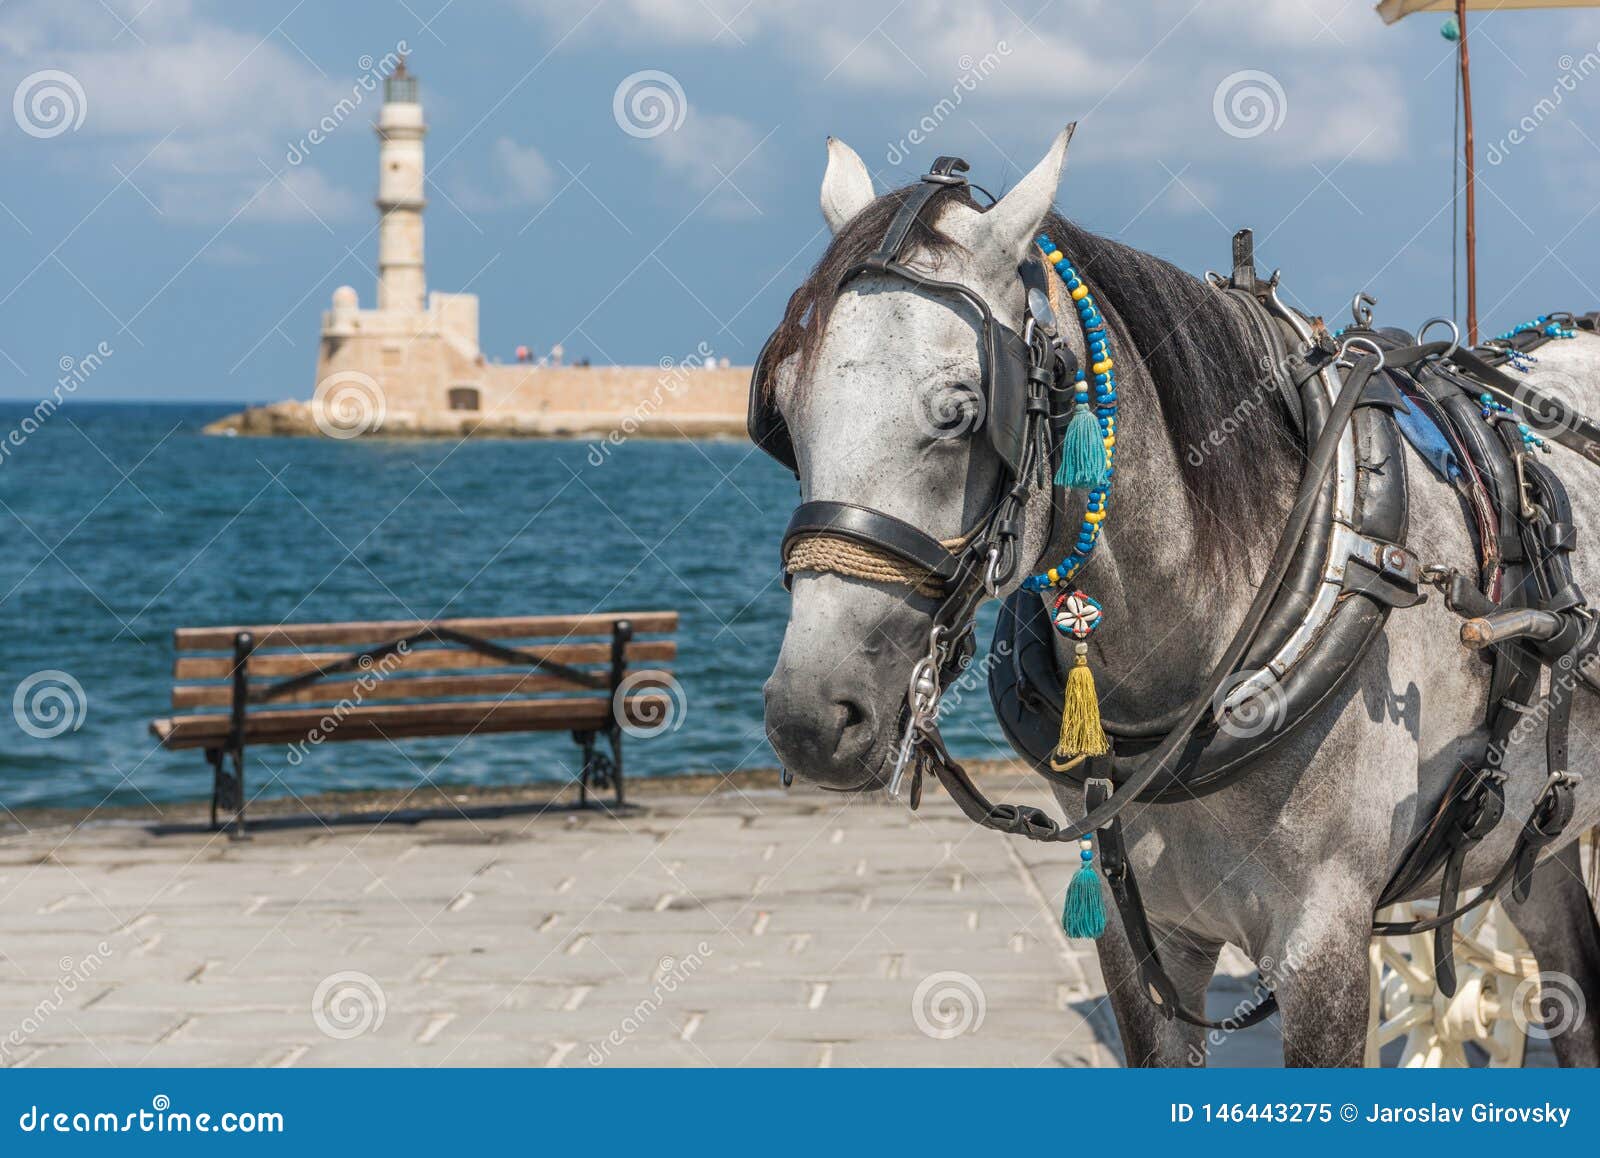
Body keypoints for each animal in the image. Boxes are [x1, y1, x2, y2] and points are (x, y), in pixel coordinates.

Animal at [755, 127, 1600, 1067]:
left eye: (963, 413)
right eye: (781, 413)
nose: (810, 718)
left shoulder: (1326, 946)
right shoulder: (1143, 935)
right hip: (1534, 827)